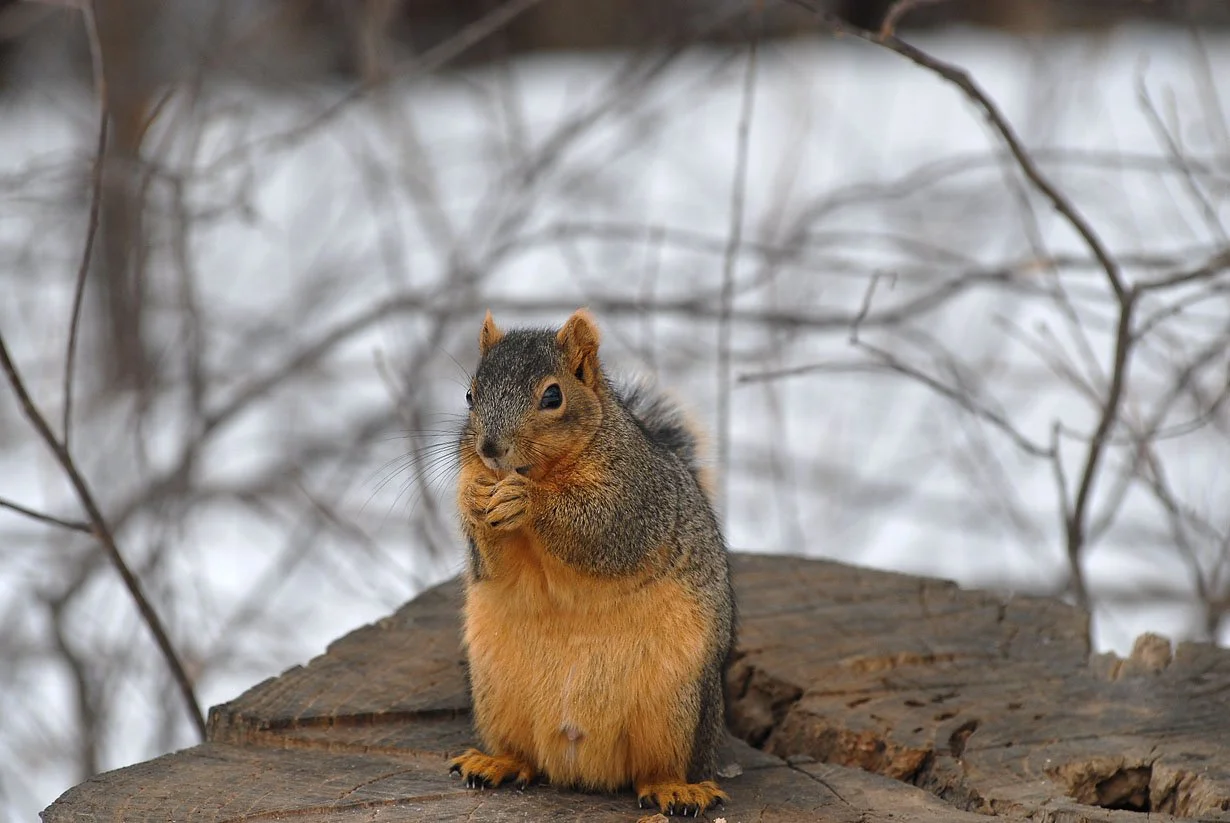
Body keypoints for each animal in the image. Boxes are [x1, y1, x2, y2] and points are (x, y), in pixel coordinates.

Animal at [447, 308, 736, 818]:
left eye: (553, 396)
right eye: (470, 394)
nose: (489, 450)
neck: (541, 471)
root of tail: (583, 765)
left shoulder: (635, 496)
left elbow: (599, 527)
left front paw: (529, 501)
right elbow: (492, 563)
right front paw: (475, 497)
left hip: (678, 707)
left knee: (657, 768)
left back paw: (677, 789)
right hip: (496, 693)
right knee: (524, 756)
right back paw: (495, 763)